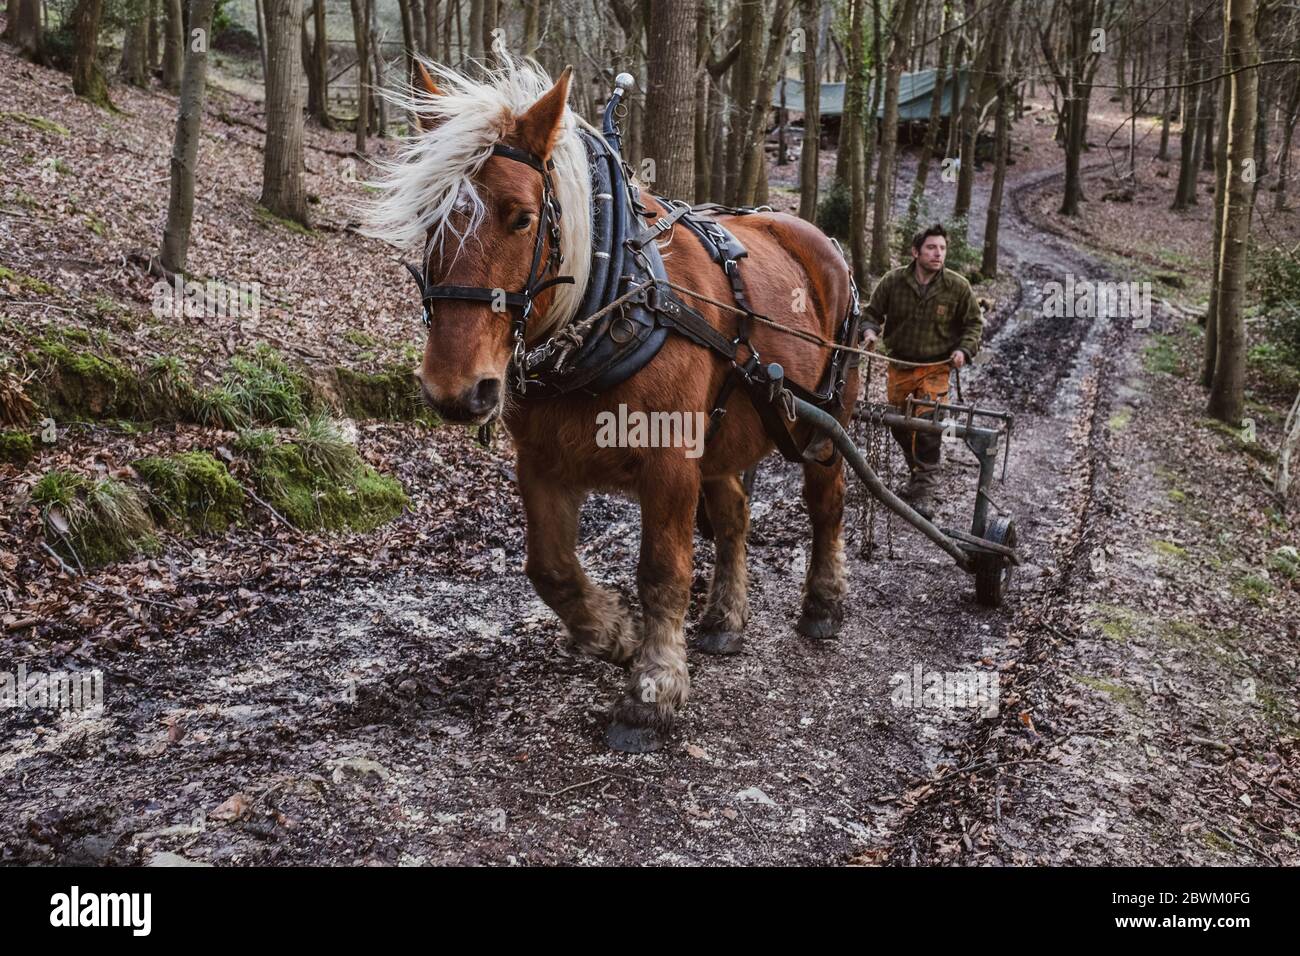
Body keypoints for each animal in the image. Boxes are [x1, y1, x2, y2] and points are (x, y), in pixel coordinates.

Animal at [363, 57, 860, 752]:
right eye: (429, 221)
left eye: (522, 218)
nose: (456, 390)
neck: (611, 304)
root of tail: (816, 236)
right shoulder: (542, 462)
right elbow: (549, 568)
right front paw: (616, 635)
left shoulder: (670, 462)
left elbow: (662, 571)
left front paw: (652, 691)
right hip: (724, 436)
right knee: (734, 515)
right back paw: (724, 620)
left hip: (826, 419)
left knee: (826, 505)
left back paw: (823, 604)